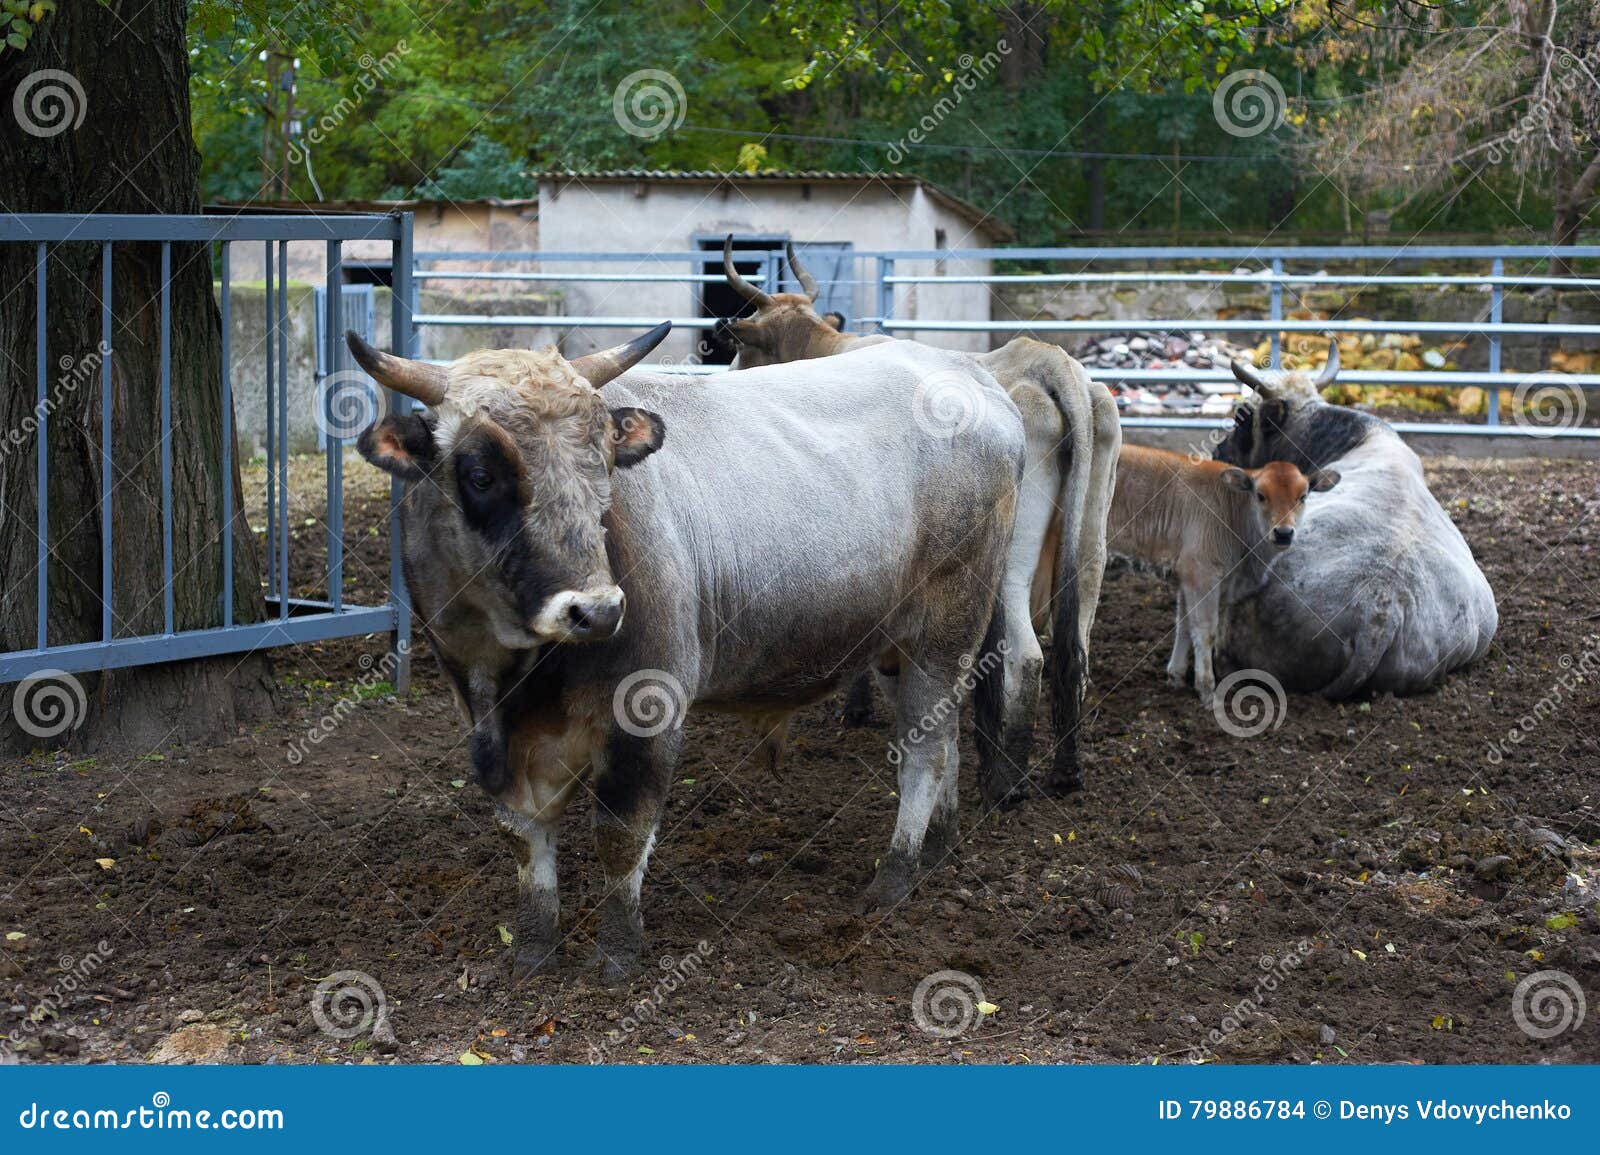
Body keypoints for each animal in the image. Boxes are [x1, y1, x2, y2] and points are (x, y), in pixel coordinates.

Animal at [345, 325, 1028, 983]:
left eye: (604, 466)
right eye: (482, 475)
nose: (597, 610)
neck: (514, 675)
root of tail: (973, 377)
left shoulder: (646, 715)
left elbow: (620, 834)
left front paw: (618, 954)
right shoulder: (489, 727)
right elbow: (525, 835)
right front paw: (533, 950)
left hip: (947, 626)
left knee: (924, 752)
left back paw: (896, 874)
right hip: (899, 647)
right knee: (945, 737)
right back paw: (938, 846)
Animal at [720, 239, 1121, 798]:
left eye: (746, 345)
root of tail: (1048, 360)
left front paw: (856, 708)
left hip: (1009, 557)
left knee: (1026, 656)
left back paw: (1006, 784)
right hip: (1089, 545)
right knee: (1074, 651)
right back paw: (1065, 771)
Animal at [1107, 445, 1339, 705]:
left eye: (1303, 496)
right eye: (1260, 495)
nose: (1283, 533)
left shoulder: (1187, 577)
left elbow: (1184, 625)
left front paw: (1176, 677)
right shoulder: (1201, 572)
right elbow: (1206, 631)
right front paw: (1207, 691)